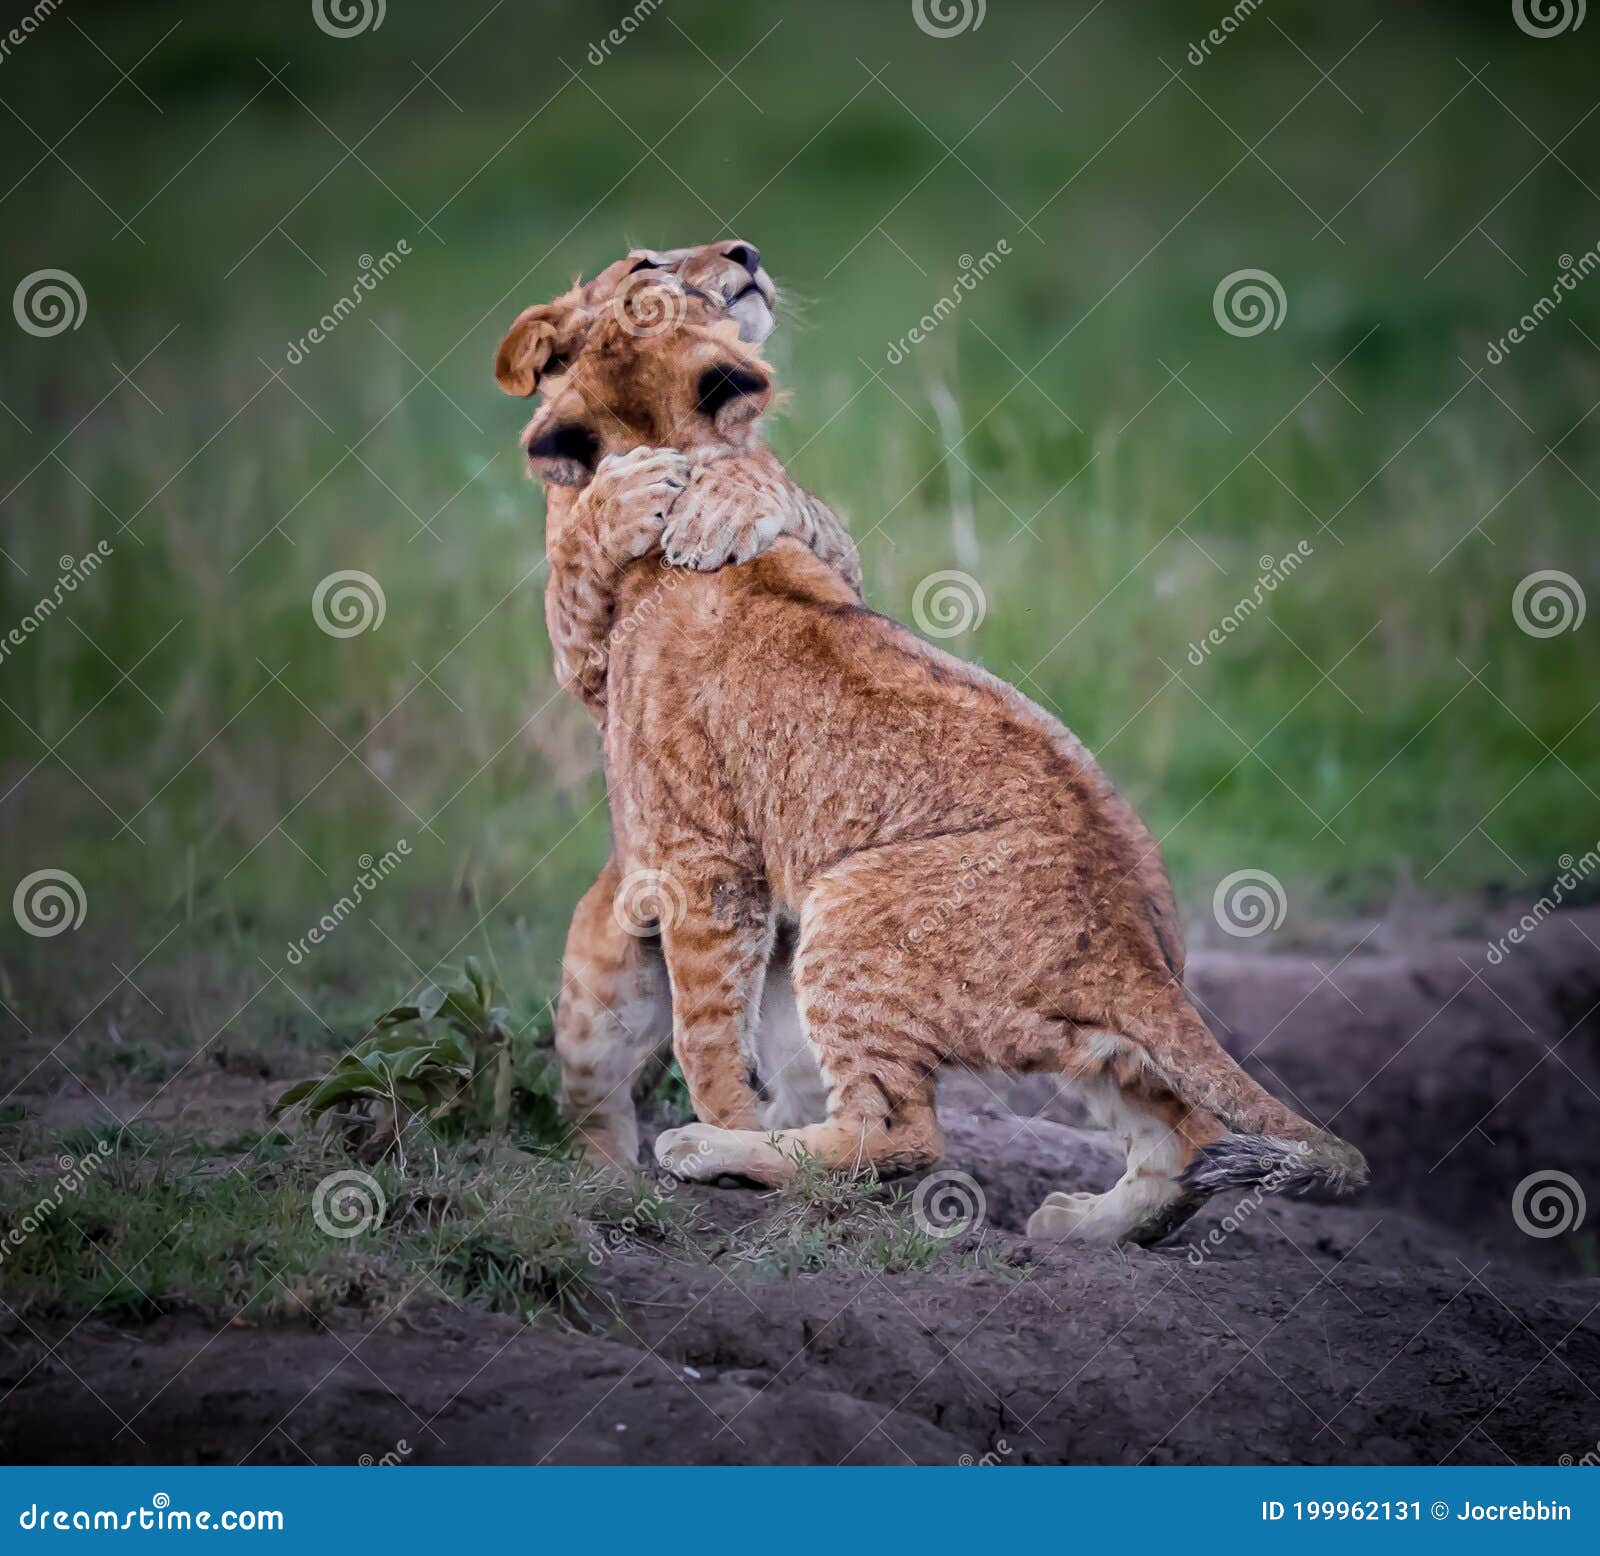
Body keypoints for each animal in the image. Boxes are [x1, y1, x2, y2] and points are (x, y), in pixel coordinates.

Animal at [506, 282, 1369, 1247]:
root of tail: (1140, 949)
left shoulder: (704, 864)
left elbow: (707, 1030)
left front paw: (723, 1119)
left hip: (850, 906)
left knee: (901, 1132)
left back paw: (716, 1151)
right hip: (1088, 1035)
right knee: (1185, 1136)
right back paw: (1081, 1226)